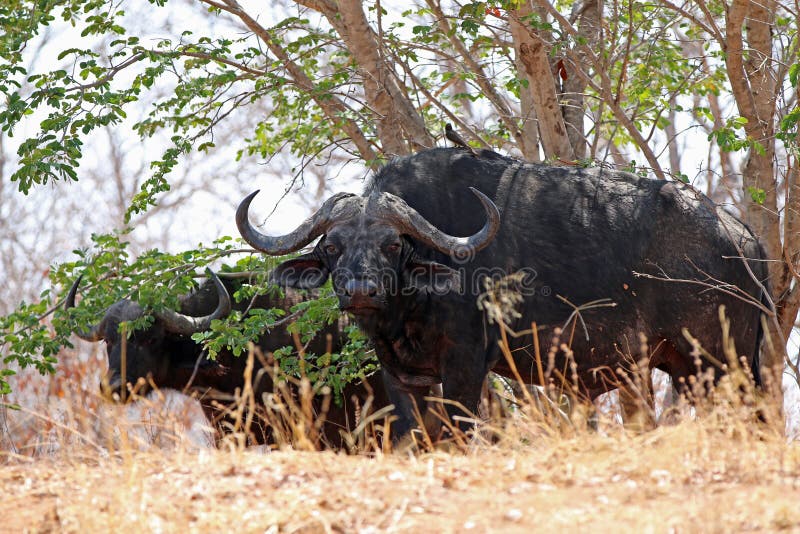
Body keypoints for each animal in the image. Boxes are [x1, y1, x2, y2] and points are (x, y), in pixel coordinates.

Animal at [237, 147, 768, 438]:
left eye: (392, 244)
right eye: (331, 246)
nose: (360, 289)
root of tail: (742, 237)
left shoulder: (468, 362)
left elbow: (460, 431)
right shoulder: (403, 375)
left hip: (720, 361)